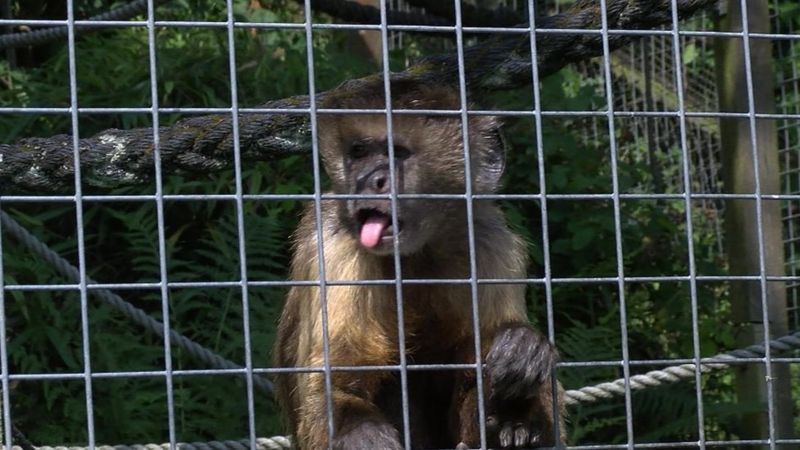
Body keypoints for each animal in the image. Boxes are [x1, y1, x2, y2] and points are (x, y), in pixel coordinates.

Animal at [274, 78, 565, 449]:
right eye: (359, 153)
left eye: (397, 154)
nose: (371, 181)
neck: (417, 253)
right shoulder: (335, 247)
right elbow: (333, 384)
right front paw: (360, 433)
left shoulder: (490, 242)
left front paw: (521, 359)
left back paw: (515, 421)